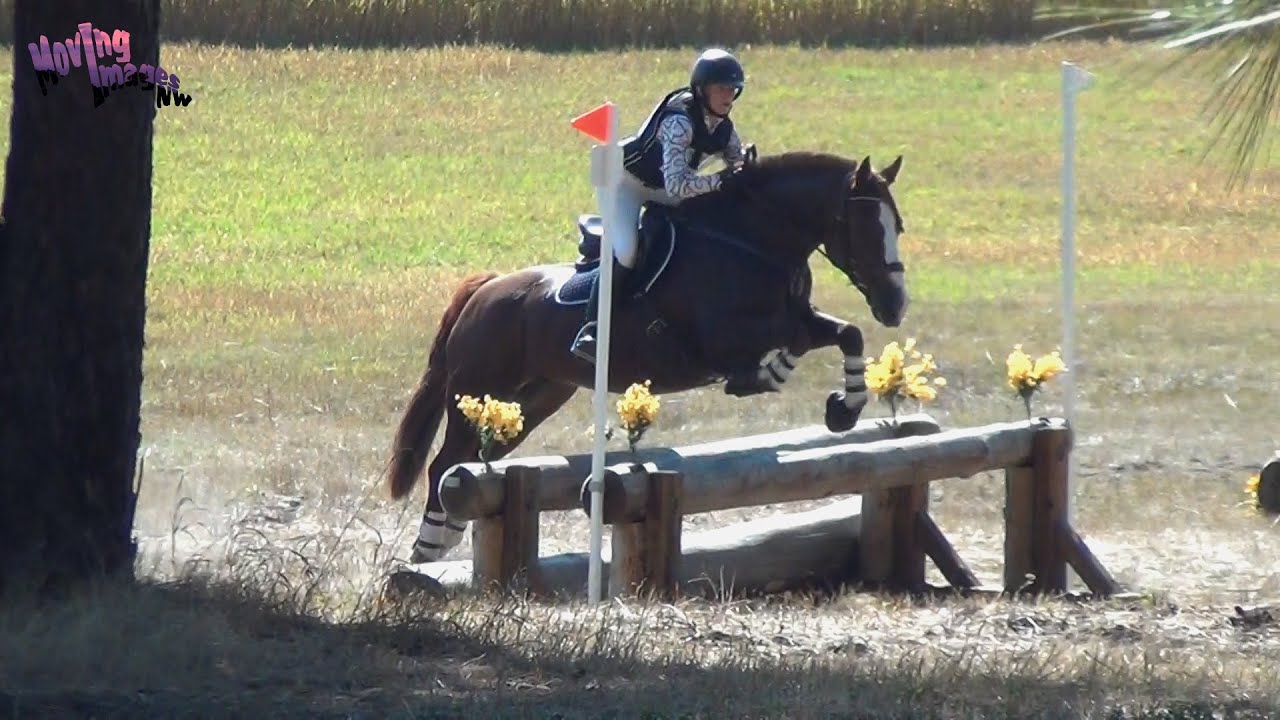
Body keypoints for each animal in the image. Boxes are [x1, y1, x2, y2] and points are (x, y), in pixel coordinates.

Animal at [386, 150, 909, 563]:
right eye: (865, 227)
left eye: (898, 226)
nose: (896, 305)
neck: (752, 241)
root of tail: (485, 288)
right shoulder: (725, 338)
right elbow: (783, 343)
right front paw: (773, 377)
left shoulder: (797, 318)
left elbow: (847, 334)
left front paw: (843, 410)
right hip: (477, 391)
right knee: (444, 463)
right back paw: (429, 548)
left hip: (532, 400)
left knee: (475, 459)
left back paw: (448, 536)